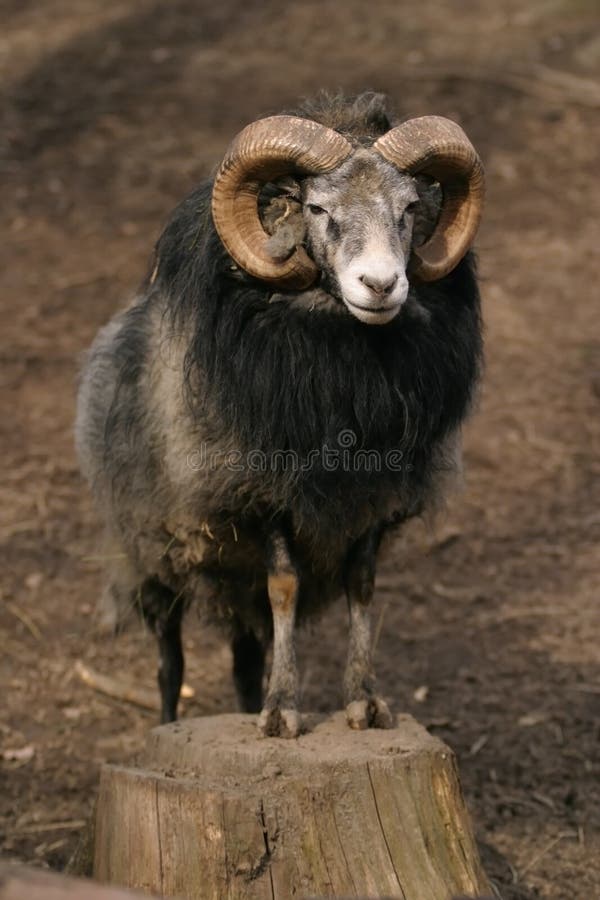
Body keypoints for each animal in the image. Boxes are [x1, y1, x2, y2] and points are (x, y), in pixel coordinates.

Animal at [76, 92, 484, 737]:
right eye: (316, 208)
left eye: (410, 207)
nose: (381, 285)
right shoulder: (262, 496)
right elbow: (286, 588)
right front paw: (283, 713)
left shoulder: (376, 495)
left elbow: (362, 587)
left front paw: (365, 702)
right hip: (152, 550)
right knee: (170, 659)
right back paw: (168, 724)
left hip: (230, 582)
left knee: (243, 657)